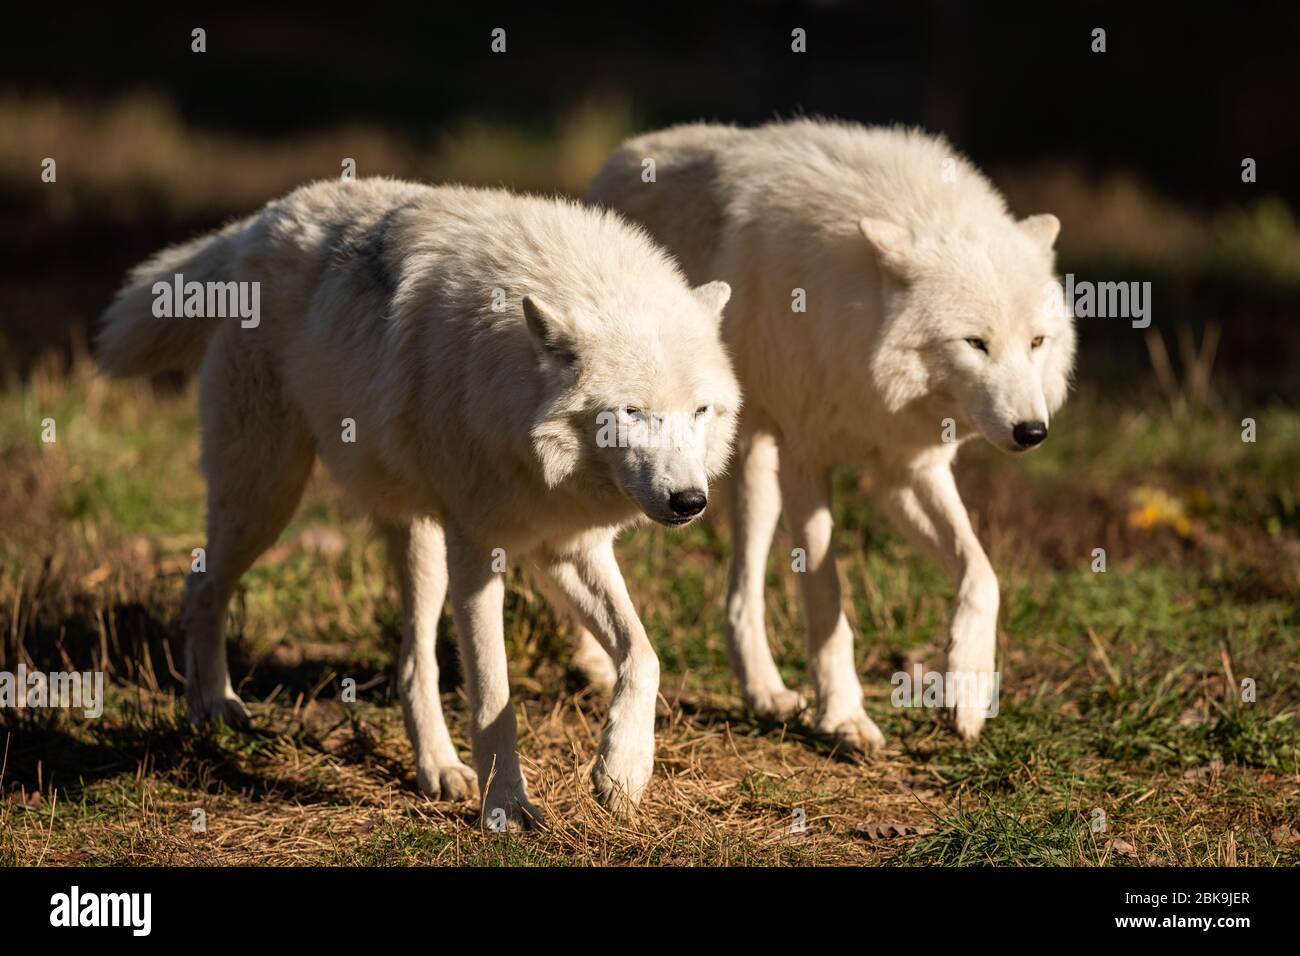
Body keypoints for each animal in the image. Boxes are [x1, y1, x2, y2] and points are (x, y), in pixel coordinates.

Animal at [97, 179, 741, 827]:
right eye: (631, 412)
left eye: (699, 411)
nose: (690, 502)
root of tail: (260, 221)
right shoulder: (480, 550)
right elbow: (494, 695)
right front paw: (508, 809)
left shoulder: (566, 545)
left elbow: (644, 655)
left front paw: (622, 771)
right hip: (267, 498)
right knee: (200, 587)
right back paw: (211, 706)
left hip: (419, 547)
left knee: (413, 664)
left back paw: (437, 767)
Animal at [589, 120, 1075, 746]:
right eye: (976, 343)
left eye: (1036, 342)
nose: (1031, 431)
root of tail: (619, 157)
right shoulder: (807, 461)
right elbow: (827, 604)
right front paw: (844, 718)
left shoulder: (905, 468)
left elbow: (981, 575)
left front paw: (966, 691)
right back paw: (591, 668)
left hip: (752, 473)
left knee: (741, 596)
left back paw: (766, 693)